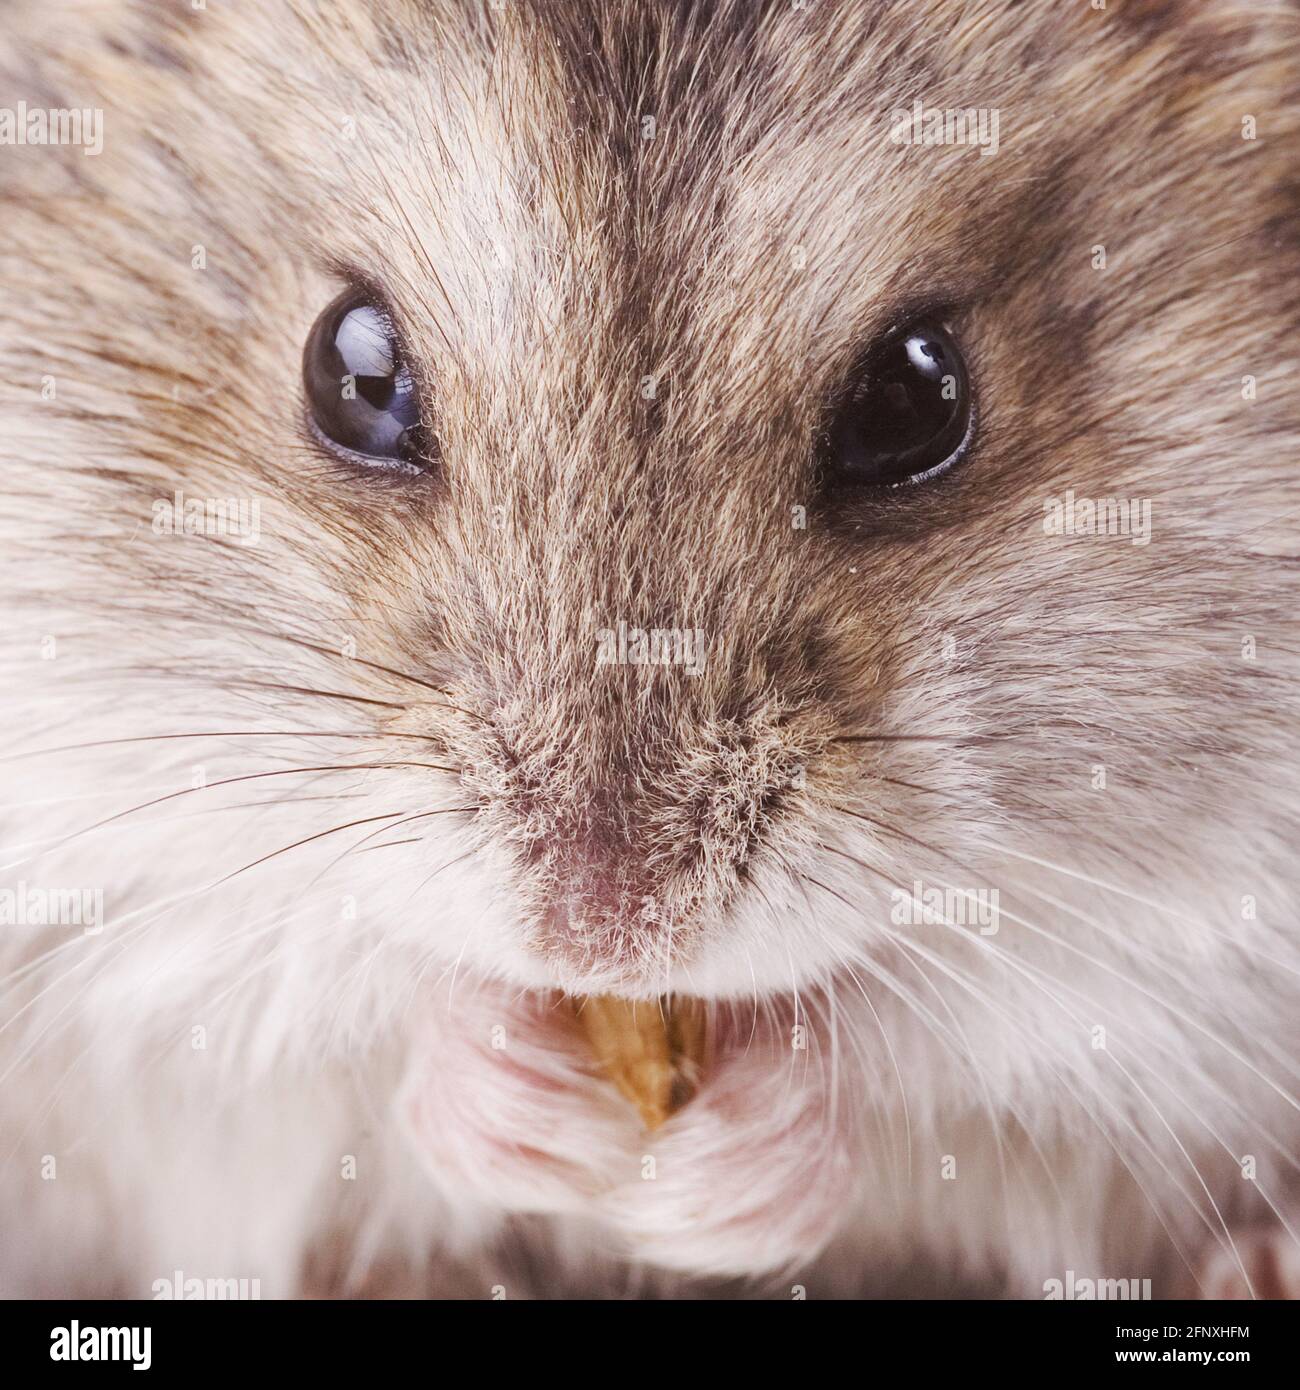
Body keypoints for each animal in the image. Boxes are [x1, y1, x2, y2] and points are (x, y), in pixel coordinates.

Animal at [0, 0, 1297, 1298]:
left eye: (916, 396)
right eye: (352, 369)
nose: (604, 936)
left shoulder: (1204, 949)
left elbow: (961, 1035)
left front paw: (701, 1190)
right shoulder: (95, 903)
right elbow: (306, 974)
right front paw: (549, 1126)